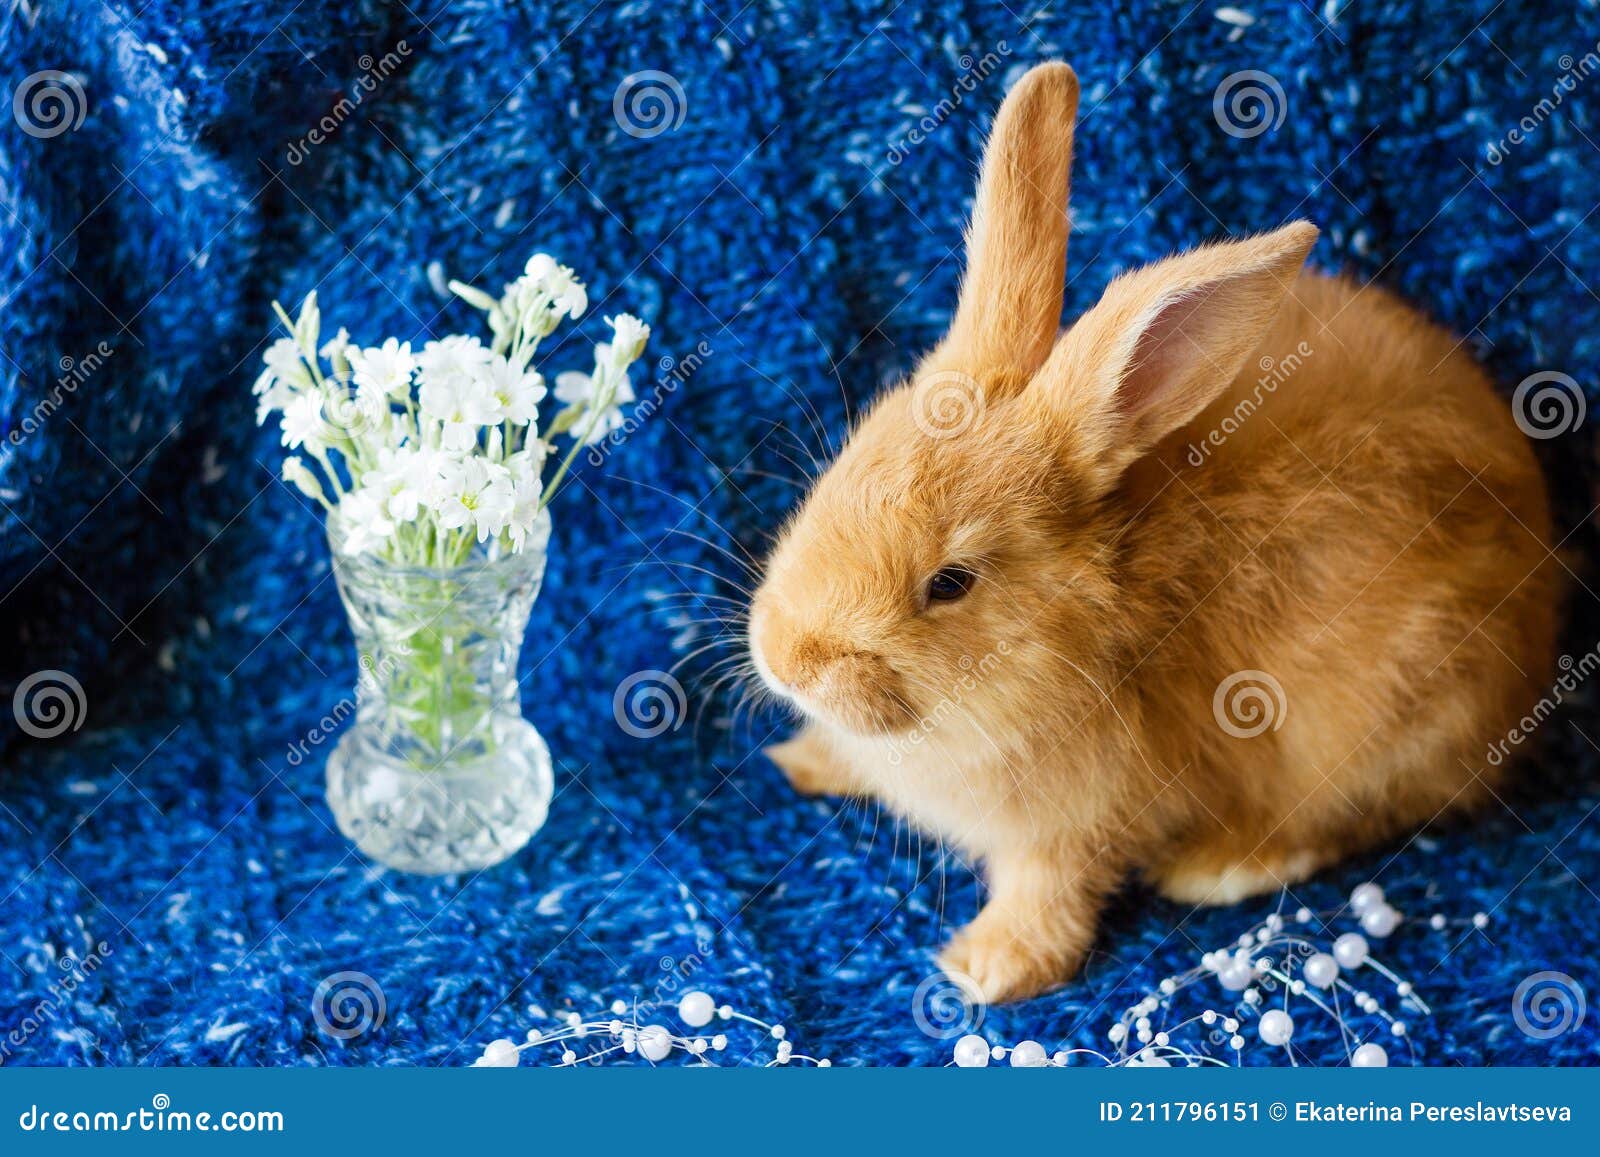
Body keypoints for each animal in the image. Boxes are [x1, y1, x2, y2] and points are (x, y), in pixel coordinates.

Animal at [746, 61, 1561, 1003]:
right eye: (836, 472)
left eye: (950, 583)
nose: (788, 661)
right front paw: (803, 761)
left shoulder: (1077, 822)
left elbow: (1050, 887)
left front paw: (986, 968)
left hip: (1387, 716)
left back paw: (1220, 867)